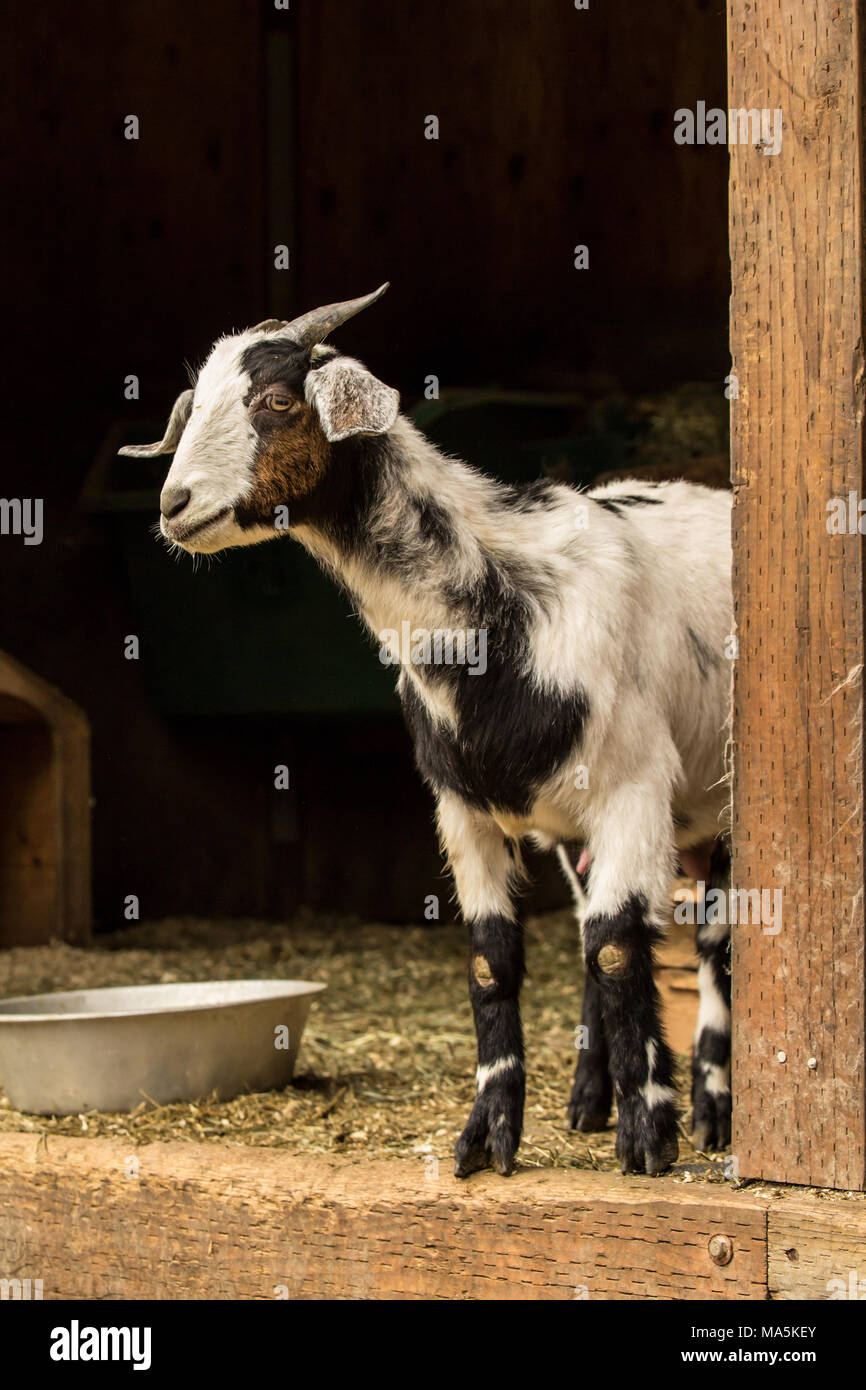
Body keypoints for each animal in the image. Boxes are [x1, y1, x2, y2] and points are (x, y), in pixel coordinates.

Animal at [120, 285, 733, 1177]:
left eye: (277, 402)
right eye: (194, 405)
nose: (174, 506)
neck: (496, 600)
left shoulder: (632, 787)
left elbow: (622, 950)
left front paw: (651, 1134)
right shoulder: (464, 810)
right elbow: (492, 961)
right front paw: (489, 1136)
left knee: (712, 942)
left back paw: (713, 1110)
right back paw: (591, 1100)